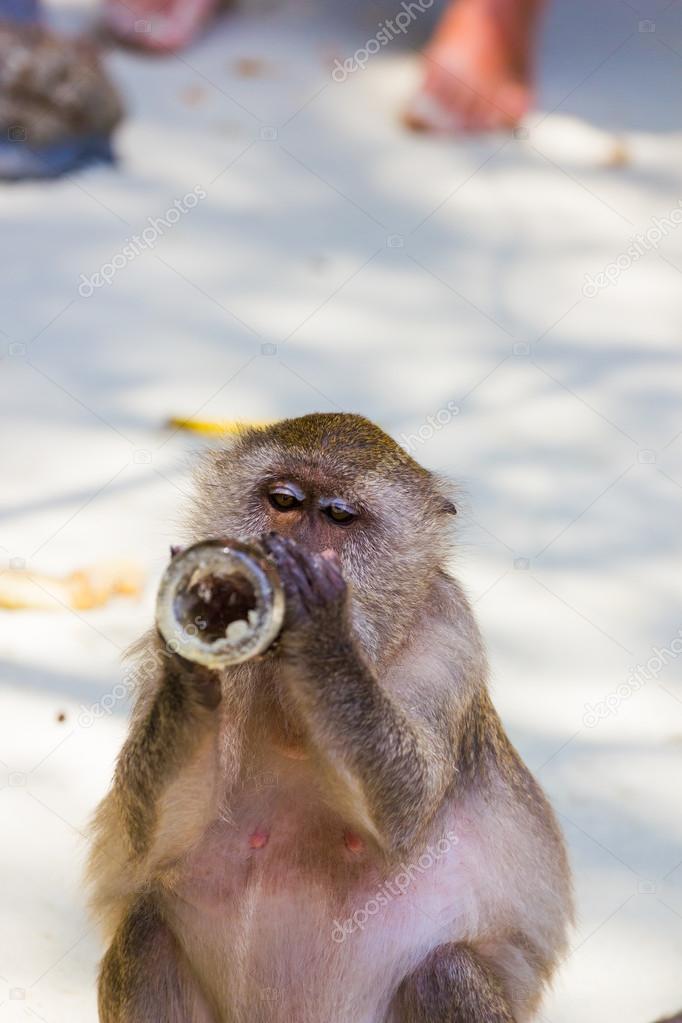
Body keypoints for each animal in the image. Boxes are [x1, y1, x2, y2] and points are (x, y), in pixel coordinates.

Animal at [87, 412, 573, 1023]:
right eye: (283, 501)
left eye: (339, 516)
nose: (288, 546)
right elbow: (155, 831)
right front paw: (203, 629)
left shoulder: (449, 638)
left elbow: (406, 808)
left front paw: (321, 626)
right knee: (145, 932)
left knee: (447, 970)